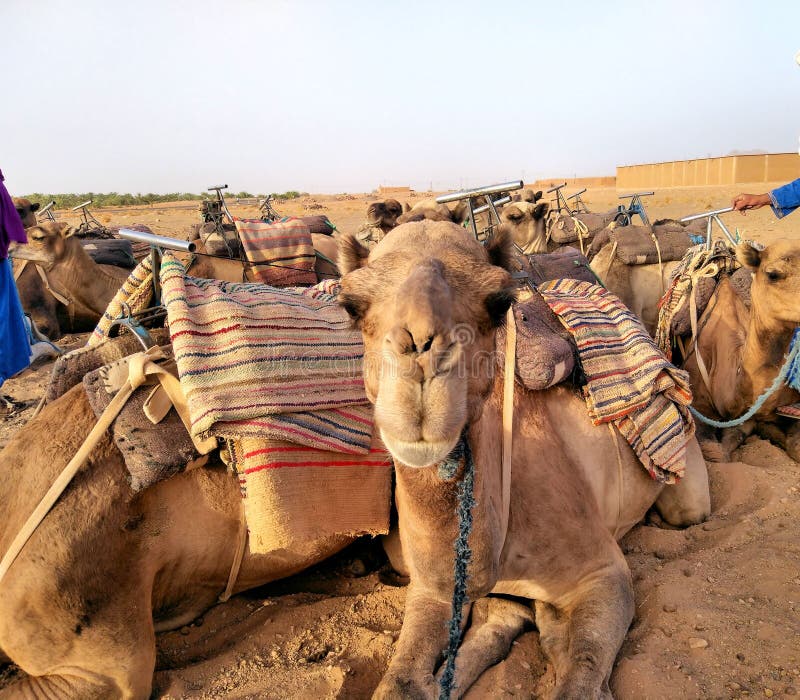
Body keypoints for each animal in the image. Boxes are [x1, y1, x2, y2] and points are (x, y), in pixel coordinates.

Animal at [337, 221, 710, 699]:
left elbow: (579, 678)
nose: (420, 354)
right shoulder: (430, 588)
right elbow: (400, 682)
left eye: (498, 303)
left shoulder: (604, 574)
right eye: (351, 305)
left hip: (686, 477)